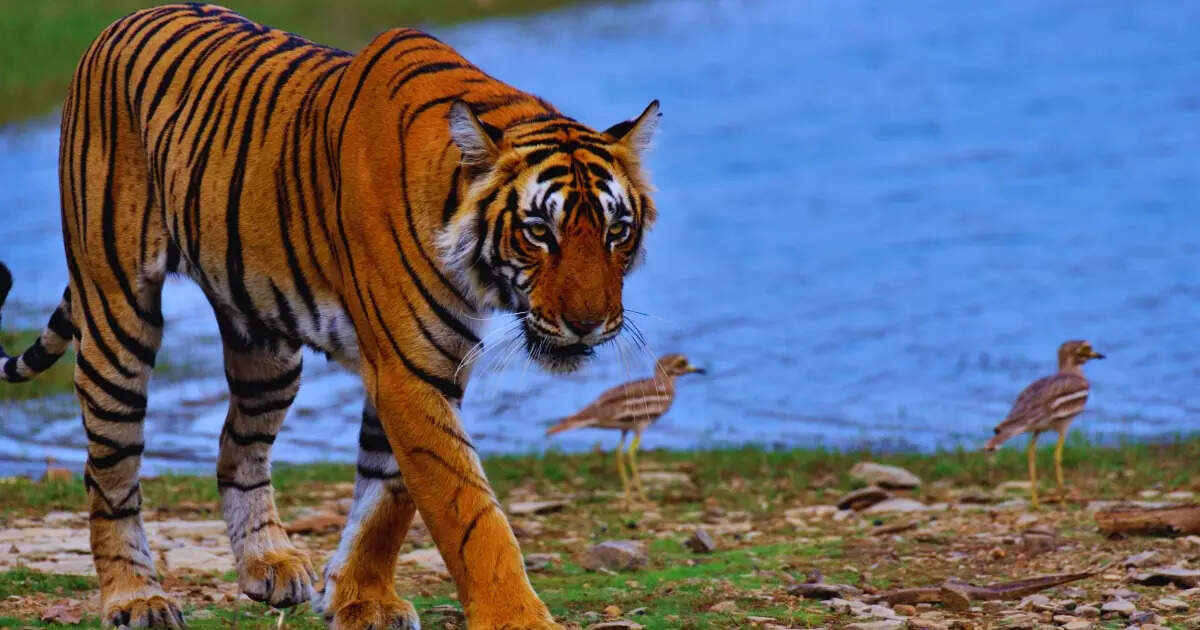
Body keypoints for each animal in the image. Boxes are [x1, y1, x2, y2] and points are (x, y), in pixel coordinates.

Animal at [0, 4, 660, 628]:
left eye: (617, 232)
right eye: (539, 231)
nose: (588, 323)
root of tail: (118, 23)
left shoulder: (420, 367)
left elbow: (386, 498)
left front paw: (362, 600)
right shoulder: (408, 372)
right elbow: (467, 511)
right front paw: (517, 618)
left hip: (266, 348)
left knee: (236, 447)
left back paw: (267, 564)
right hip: (117, 316)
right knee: (108, 471)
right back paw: (136, 598)